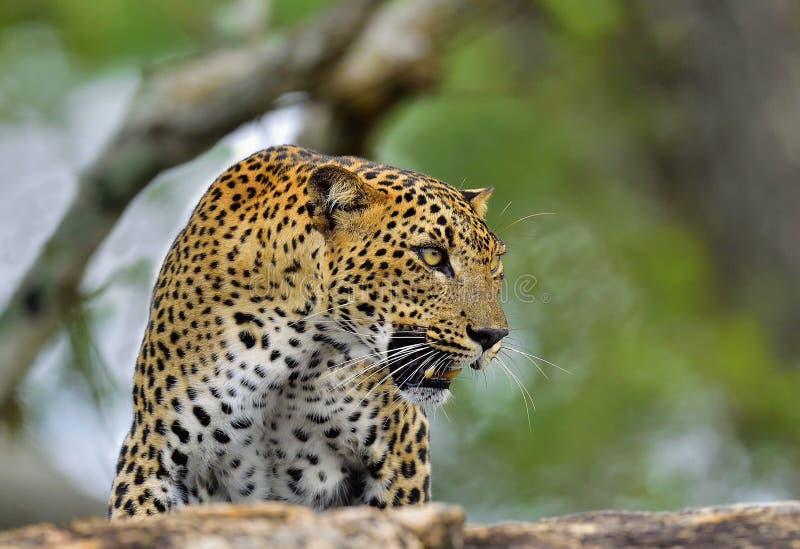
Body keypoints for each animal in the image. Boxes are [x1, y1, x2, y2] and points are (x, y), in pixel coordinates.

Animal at [109, 144, 508, 518]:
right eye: (431, 255)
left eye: (494, 267)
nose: (493, 336)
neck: (299, 347)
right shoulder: (152, 450)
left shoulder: (402, 448)